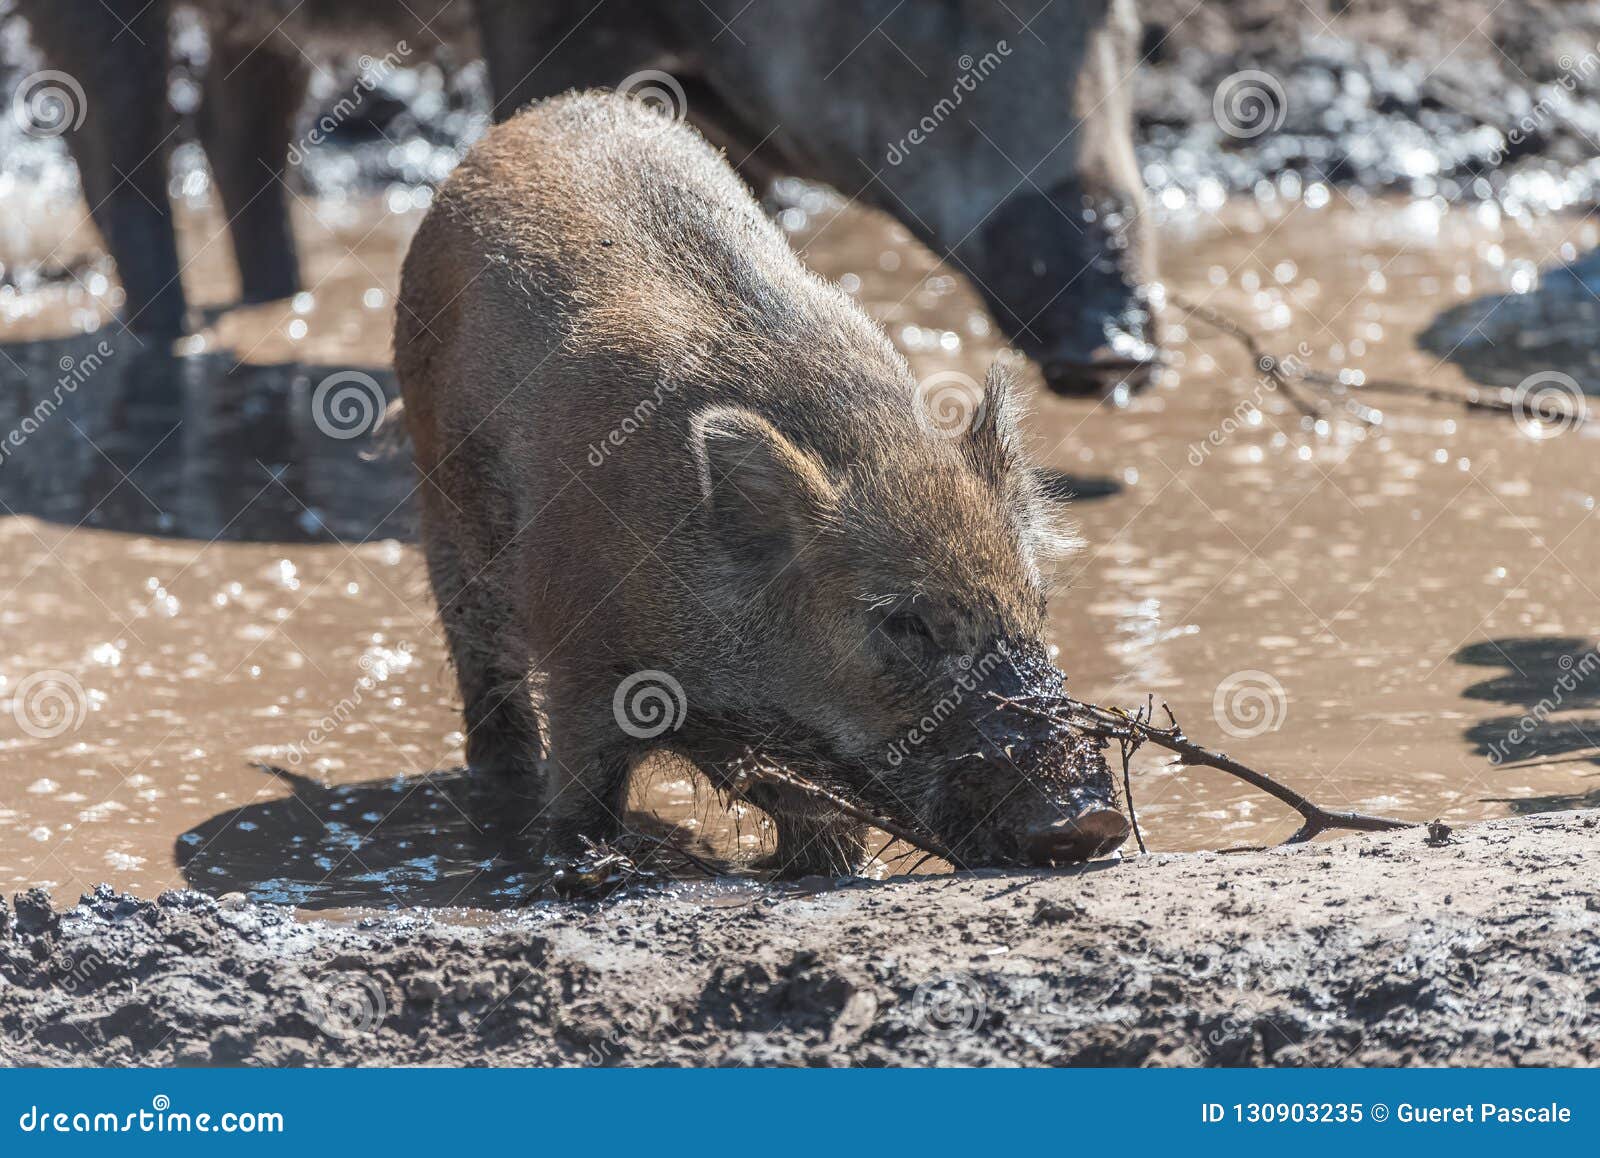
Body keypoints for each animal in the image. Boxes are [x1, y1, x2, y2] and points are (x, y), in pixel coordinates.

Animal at [393, 92, 1129, 876]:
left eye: (1038, 606)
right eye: (906, 622)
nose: (1091, 822)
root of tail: (538, 115)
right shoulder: (582, 661)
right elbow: (585, 789)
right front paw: (584, 867)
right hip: (443, 515)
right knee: (486, 677)